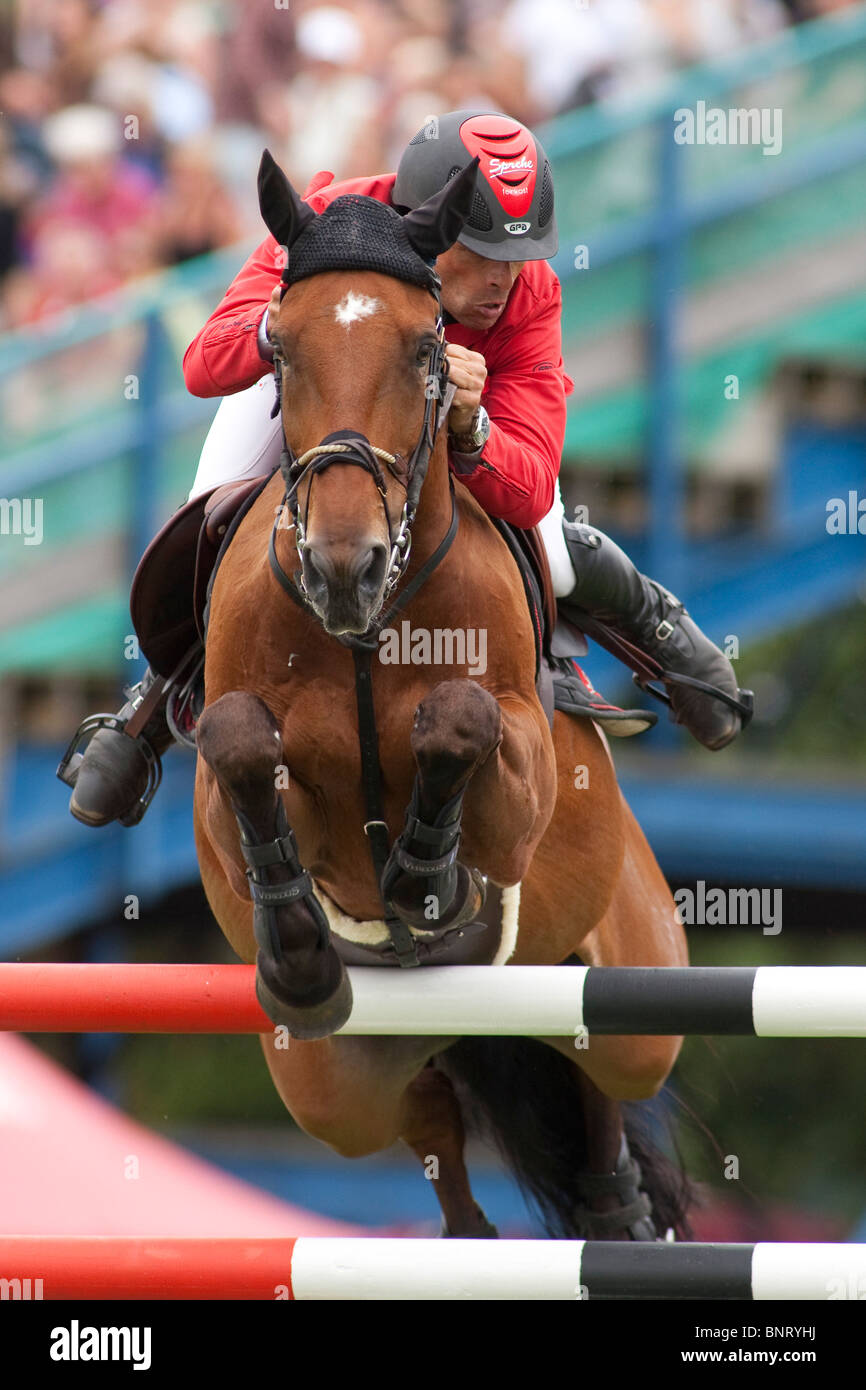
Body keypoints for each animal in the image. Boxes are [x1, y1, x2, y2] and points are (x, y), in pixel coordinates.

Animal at [193, 152, 691, 1240]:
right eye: (278, 347)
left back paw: (618, 1210)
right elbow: (240, 740)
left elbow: (455, 720)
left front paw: (425, 877)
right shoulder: (223, 781)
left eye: (426, 348)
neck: (367, 632)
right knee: (433, 1128)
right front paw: (301, 942)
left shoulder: (518, 767)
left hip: (629, 984)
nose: (342, 566)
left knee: (593, 1054)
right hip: (335, 1091)